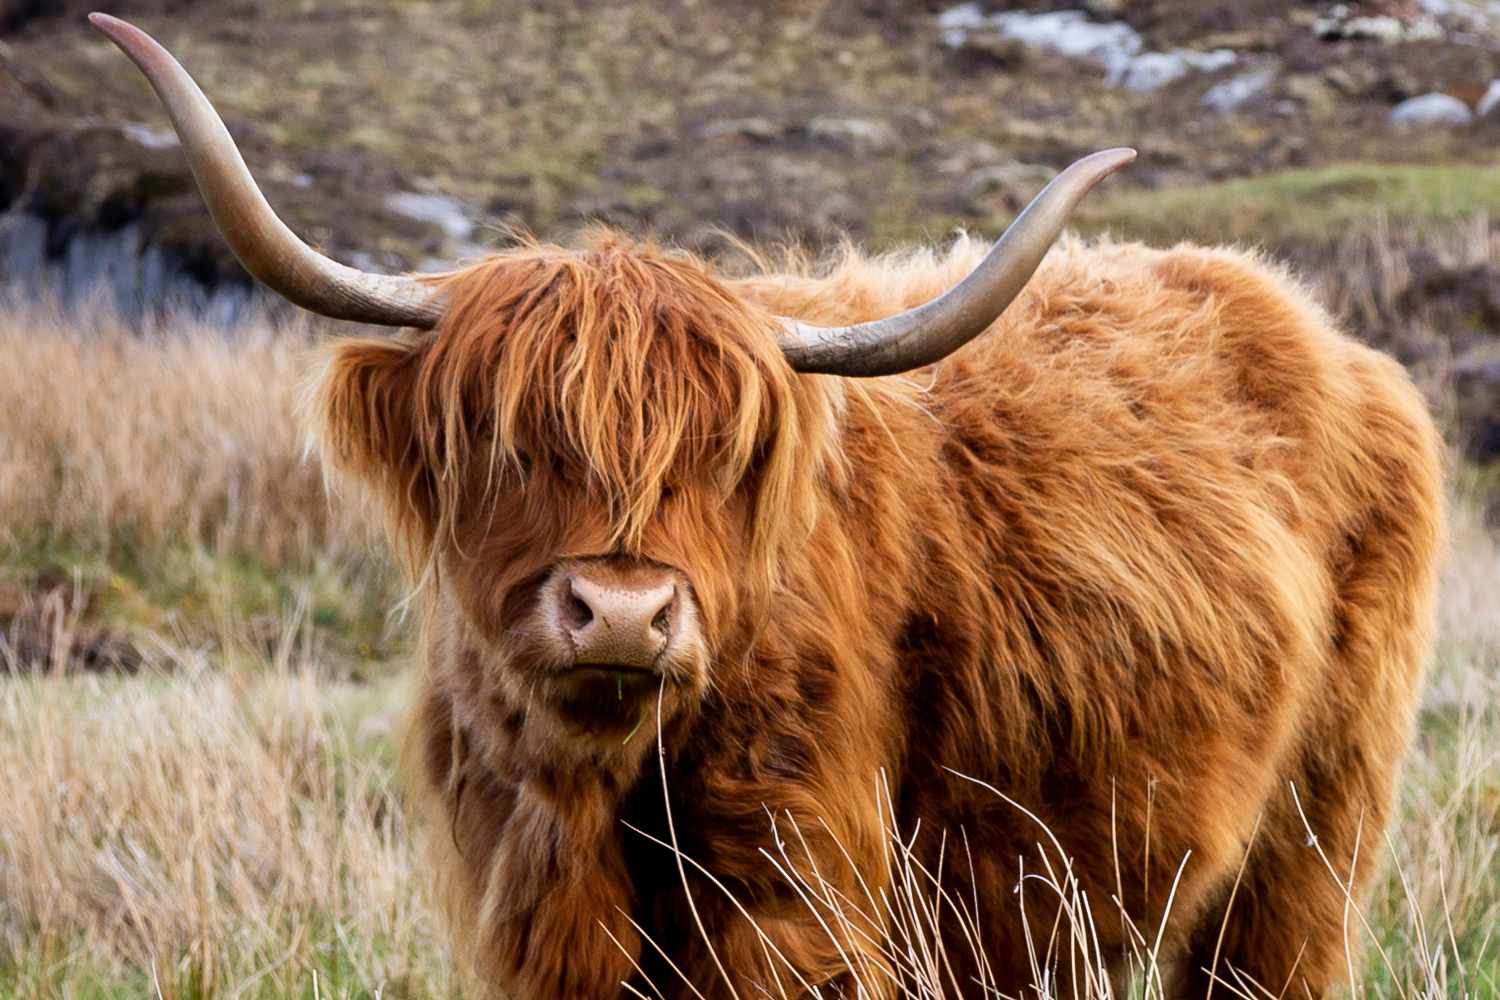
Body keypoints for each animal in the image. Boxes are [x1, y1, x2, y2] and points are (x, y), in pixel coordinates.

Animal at [93, 14, 1443, 999]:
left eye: (724, 454)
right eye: (509, 441)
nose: (622, 613)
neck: (599, 794)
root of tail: (1328, 336)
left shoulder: (795, 893)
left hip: (1309, 843)